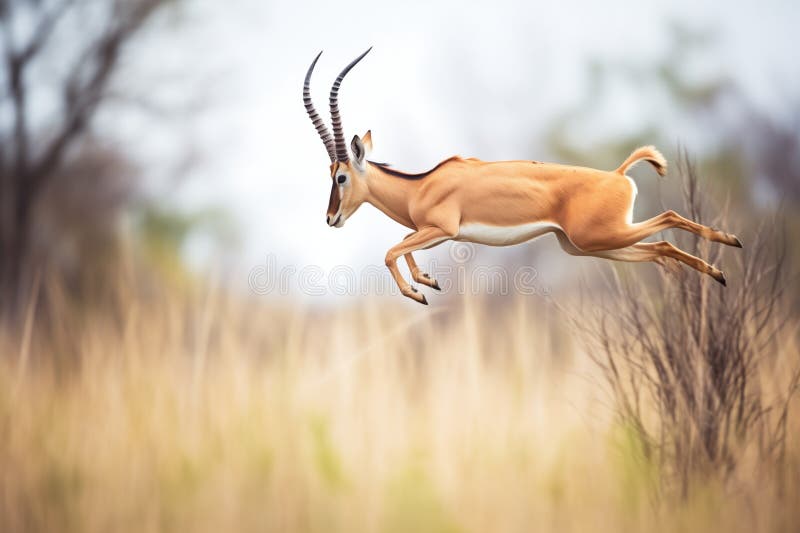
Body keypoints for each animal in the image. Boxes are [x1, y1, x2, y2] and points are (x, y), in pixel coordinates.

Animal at [303, 48, 743, 305]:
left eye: (341, 177)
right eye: (329, 172)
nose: (329, 218)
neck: (421, 186)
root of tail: (618, 175)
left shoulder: (442, 229)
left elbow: (392, 249)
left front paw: (418, 292)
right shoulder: (434, 232)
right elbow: (403, 246)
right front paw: (427, 281)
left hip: (599, 236)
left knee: (668, 219)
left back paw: (729, 245)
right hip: (589, 245)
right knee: (662, 246)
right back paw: (714, 274)